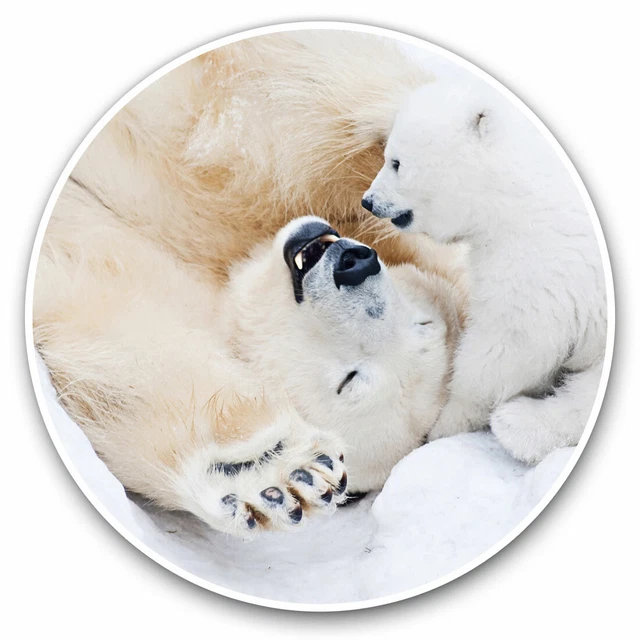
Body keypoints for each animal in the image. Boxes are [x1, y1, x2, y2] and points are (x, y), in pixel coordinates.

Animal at [362, 77, 607, 464]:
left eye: (396, 162)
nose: (369, 201)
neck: (513, 193)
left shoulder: (536, 264)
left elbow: (507, 346)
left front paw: (445, 424)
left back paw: (517, 425)